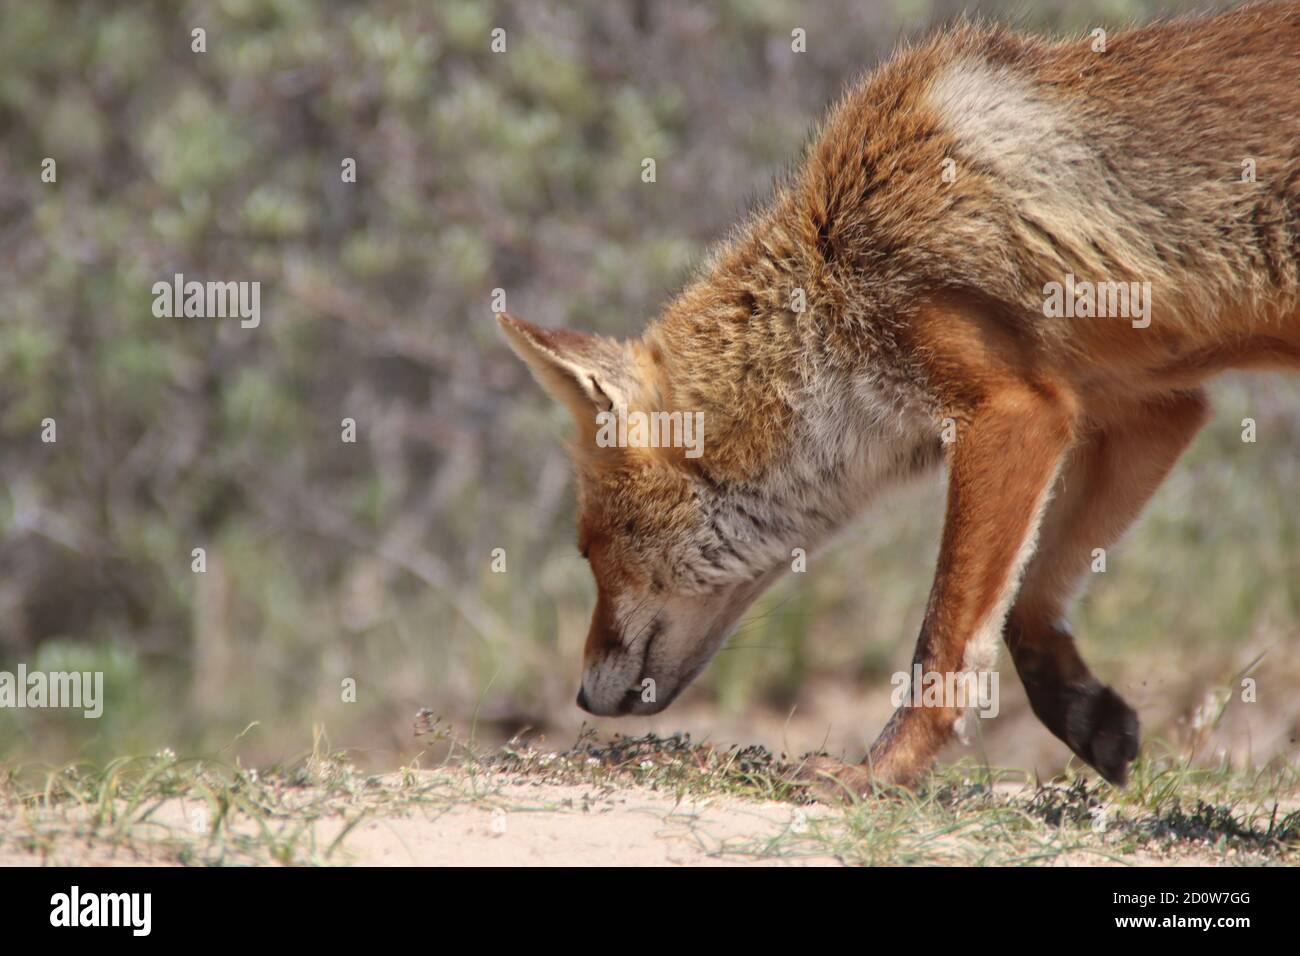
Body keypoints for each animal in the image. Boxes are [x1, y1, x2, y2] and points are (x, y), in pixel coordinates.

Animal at [498, 2, 1300, 795]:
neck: (832, 264)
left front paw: (878, 775)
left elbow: (943, 642)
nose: (580, 696)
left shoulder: (1014, 413)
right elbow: (1027, 607)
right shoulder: (1142, 411)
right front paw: (1086, 714)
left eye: (588, 550)